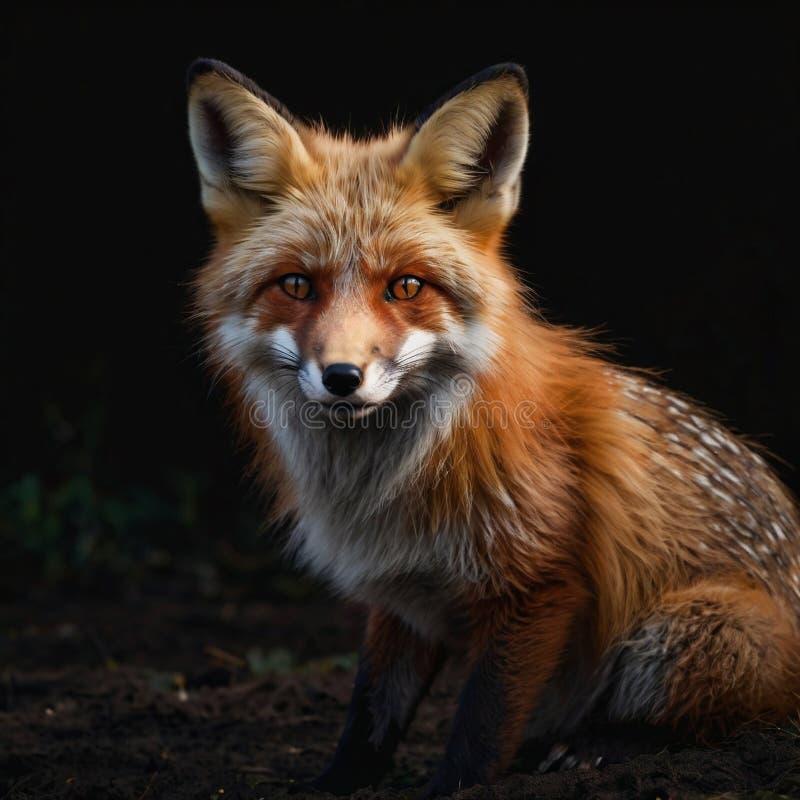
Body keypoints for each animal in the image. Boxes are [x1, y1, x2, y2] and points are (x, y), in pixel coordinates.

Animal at [187, 59, 800, 796]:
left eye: (406, 287)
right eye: (297, 285)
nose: (341, 377)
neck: (386, 486)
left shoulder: (539, 586)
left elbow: (481, 727)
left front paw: (456, 786)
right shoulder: (400, 594)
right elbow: (370, 715)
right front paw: (336, 783)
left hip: (689, 629)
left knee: (714, 724)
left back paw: (598, 747)